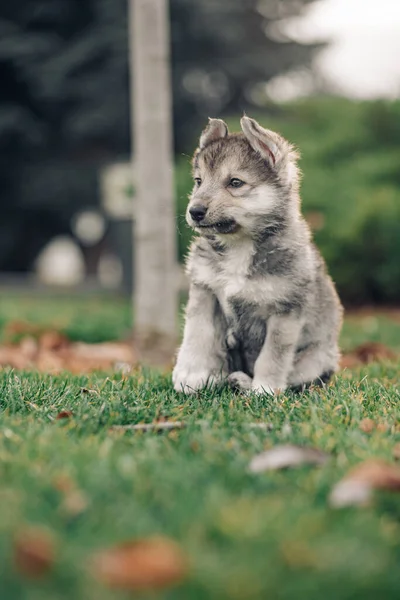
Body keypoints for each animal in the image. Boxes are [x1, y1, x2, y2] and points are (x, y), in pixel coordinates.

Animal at [173, 118, 344, 398]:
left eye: (235, 182)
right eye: (199, 181)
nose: (194, 211)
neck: (239, 246)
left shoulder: (285, 310)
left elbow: (272, 356)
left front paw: (264, 389)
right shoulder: (205, 290)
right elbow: (198, 334)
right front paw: (192, 375)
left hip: (316, 359)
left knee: (297, 378)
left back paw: (244, 382)